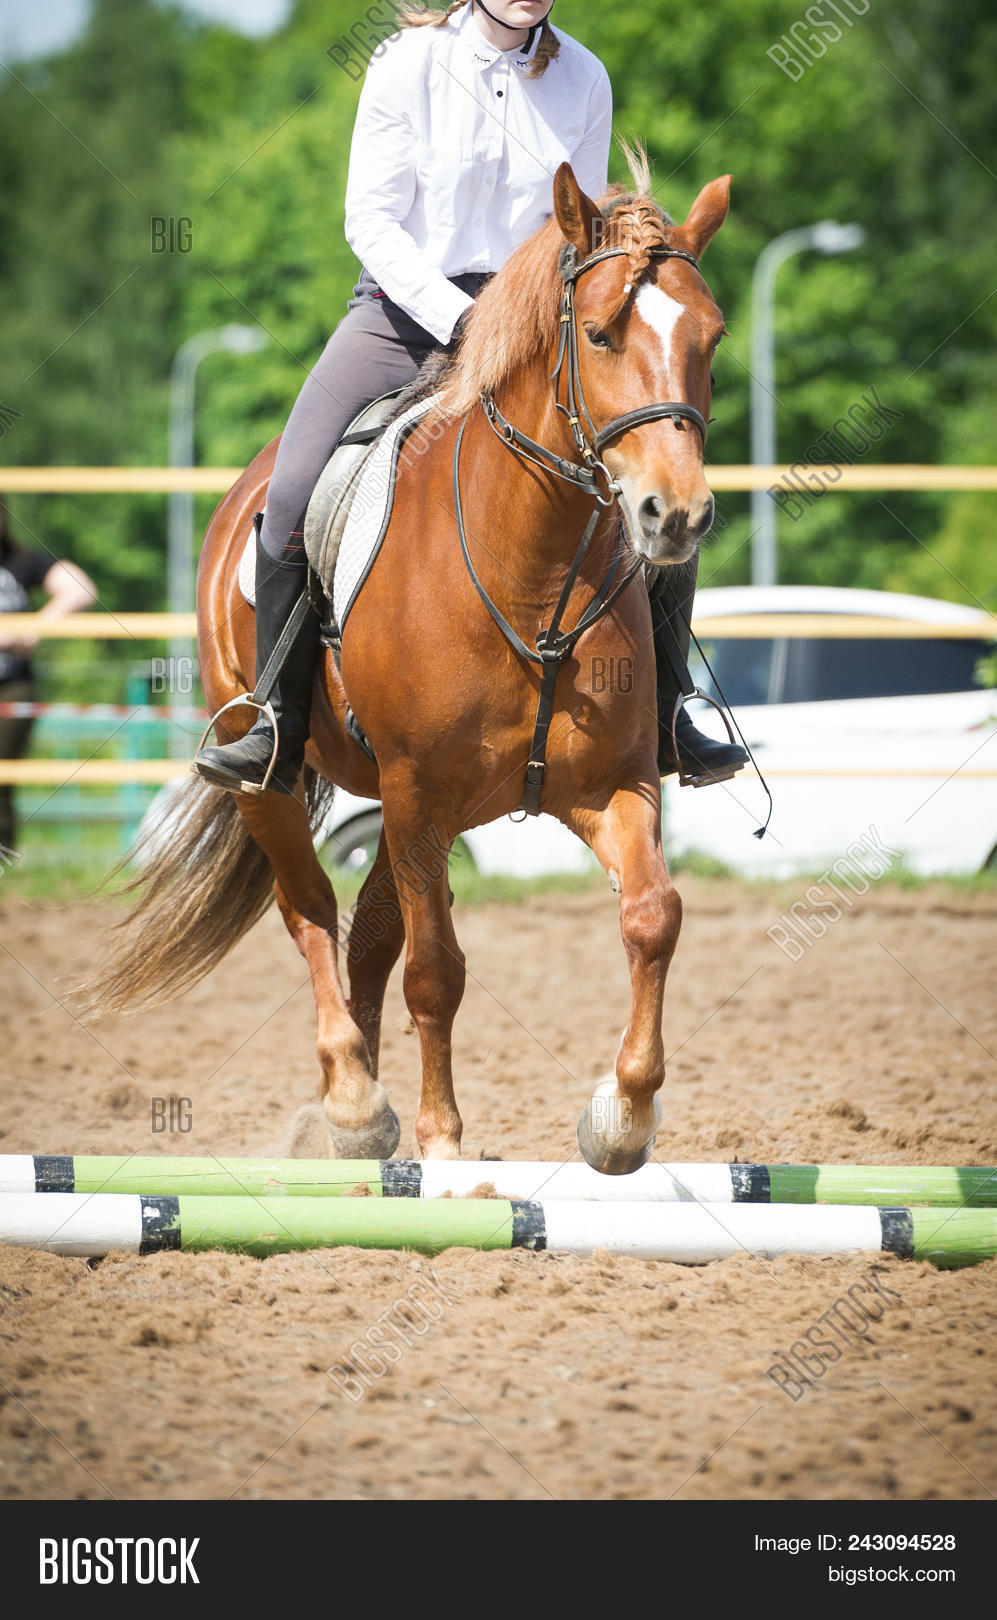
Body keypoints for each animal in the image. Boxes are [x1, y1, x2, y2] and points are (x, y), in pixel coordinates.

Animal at [81, 151, 730, 1174]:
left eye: (711, 337)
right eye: (598, 334)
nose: (678, 516)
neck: (528, 574)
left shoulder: (613, 786)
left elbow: (651, 916)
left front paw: (620, 1118)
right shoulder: (420, 794)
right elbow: (436, 970)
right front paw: (441, 1142)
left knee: (370, 934)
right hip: (284, 783)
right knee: (310, 909)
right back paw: (353, 1101)